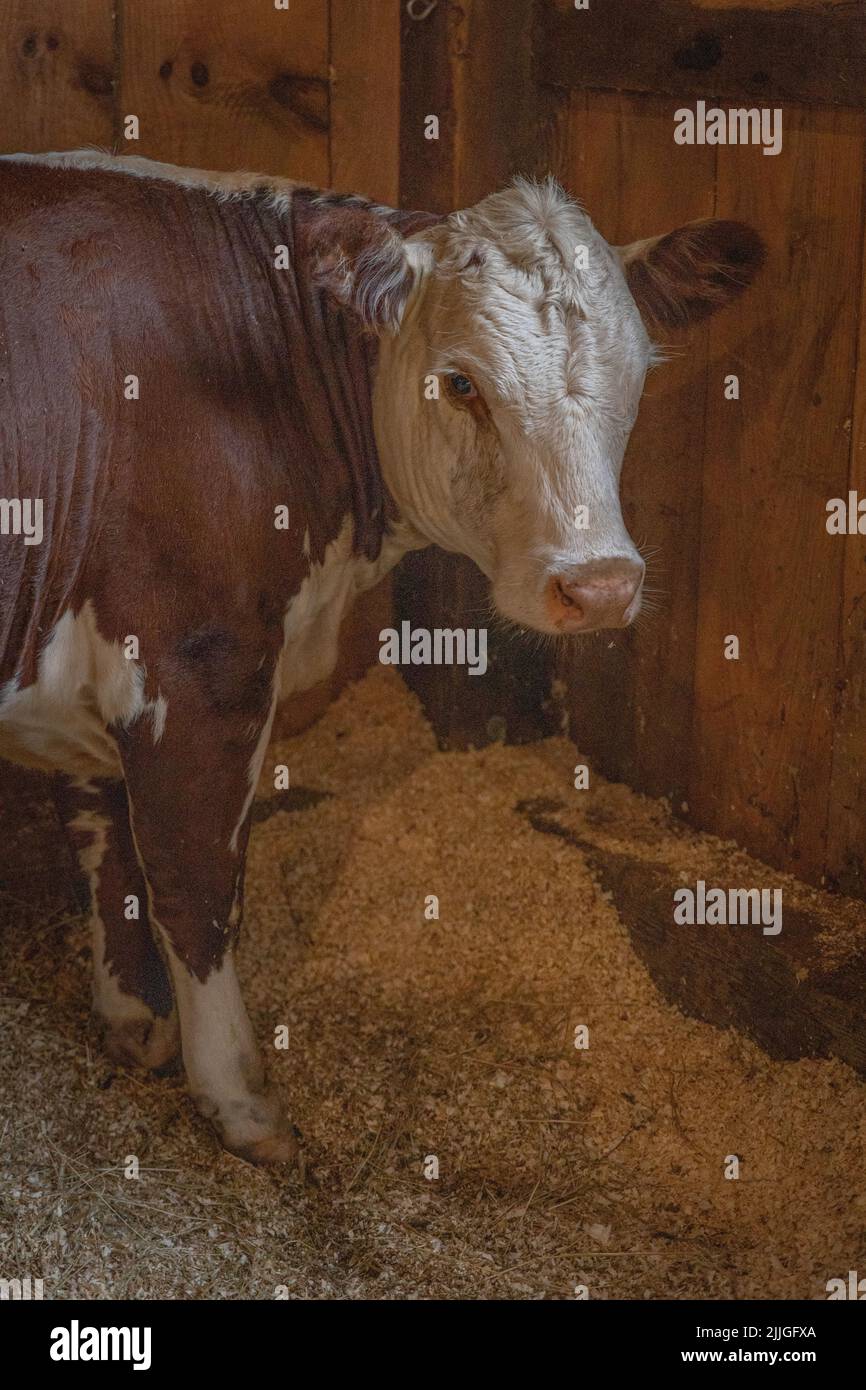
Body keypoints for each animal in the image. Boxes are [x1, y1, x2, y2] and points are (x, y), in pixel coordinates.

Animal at [0, 152, 763, 1163]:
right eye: (462, 384)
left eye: (638, 371)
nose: (600, 585)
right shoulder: (198, 663)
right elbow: (195, 882)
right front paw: (242, 1100)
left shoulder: (92, 647)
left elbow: (102, 841)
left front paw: (134, 1022)